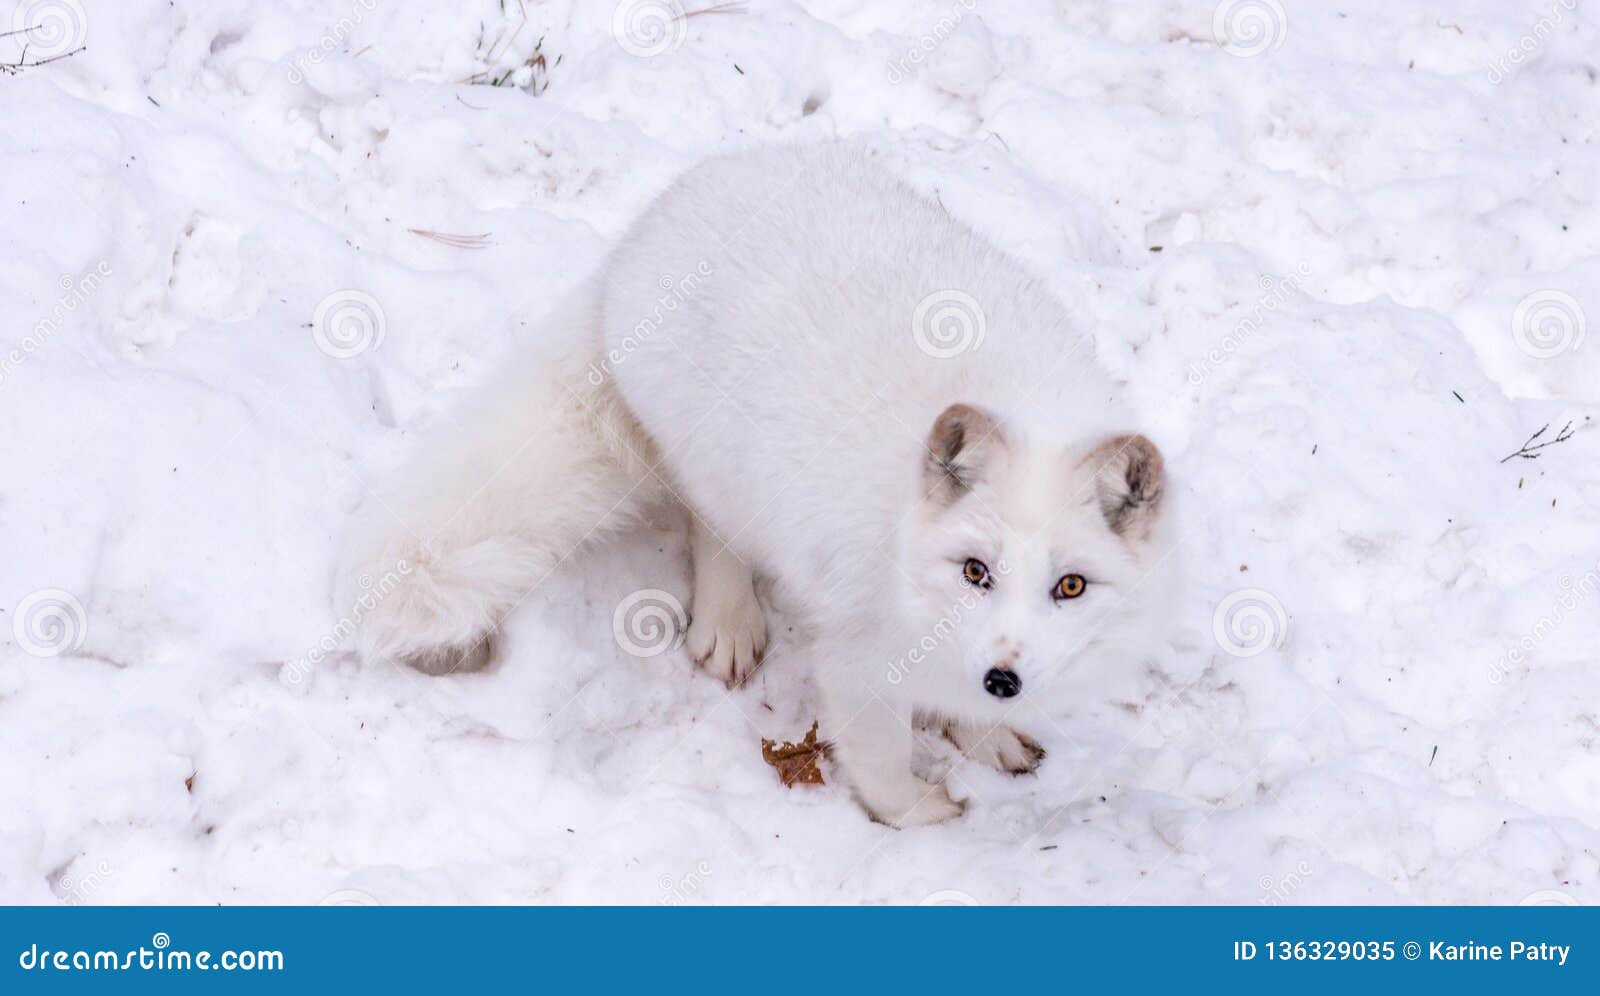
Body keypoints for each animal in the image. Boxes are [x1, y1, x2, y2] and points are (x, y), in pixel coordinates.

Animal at [338, 143, 1171, 827]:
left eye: (1070, 585)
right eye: (976, 571)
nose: (1004, 679)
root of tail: (652, 222)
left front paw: (987, 734)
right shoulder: (861, 659)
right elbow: (882, 764)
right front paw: (920, 814)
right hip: (713, 459)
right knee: (711, 525)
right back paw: (730, 622)